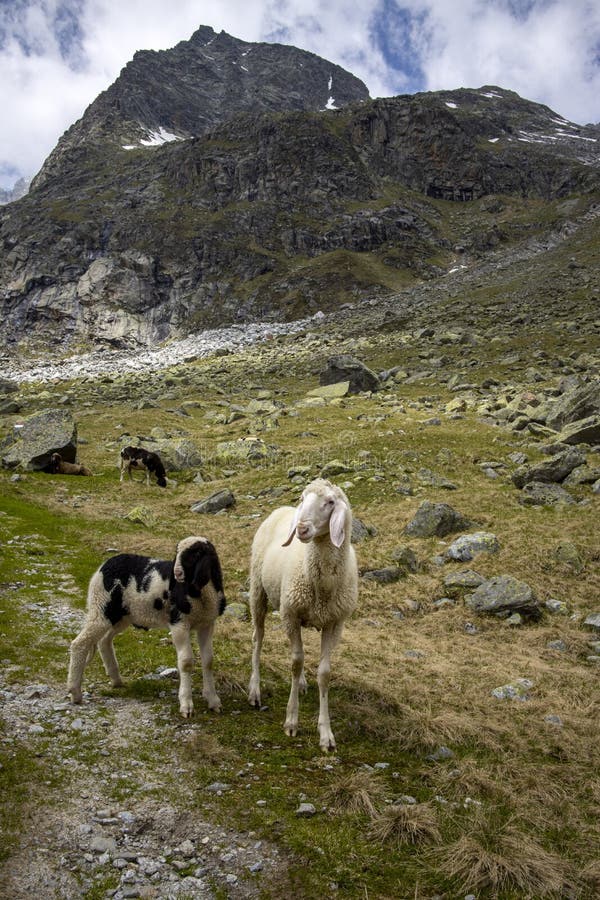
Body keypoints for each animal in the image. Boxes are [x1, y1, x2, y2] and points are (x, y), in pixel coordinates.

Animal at [67, 536, 226, 717]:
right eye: (177, 553)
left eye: (197, 554)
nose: (177, 573)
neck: (200, 593)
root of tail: (105, 565)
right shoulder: (179, 623)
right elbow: (186, 662)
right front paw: (187, 705)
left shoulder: (207, 623)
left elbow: (208, 661)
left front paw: (213, 701)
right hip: (101, 608)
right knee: (80, 643)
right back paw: (75, 692)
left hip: (121, 616)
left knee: (104, 641)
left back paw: (116, 680)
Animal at [248, 478, 358, 752]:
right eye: (303, 498)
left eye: (330, 502)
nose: (301, 528)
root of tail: (281, 509)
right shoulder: (290, 615)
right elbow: (296, 662)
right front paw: (291, 721)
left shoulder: (335, 623)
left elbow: (324, 673)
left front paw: (326, 734)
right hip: (257, 590)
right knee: (258, 638)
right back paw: (254, 690)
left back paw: (301, 684)